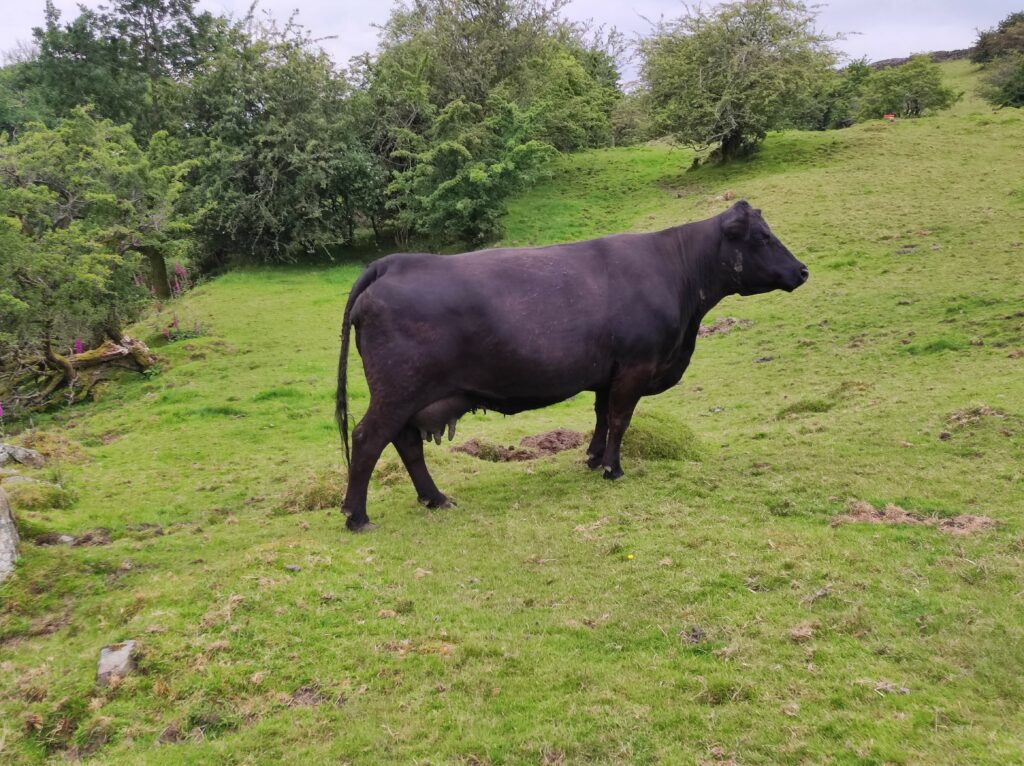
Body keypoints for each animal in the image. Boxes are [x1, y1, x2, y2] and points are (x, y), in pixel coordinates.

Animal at [335, 200, 808, 531]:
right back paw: (357, 516)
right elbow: (619, 419)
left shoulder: (607, 373)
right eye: (762, 237)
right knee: (368, 439)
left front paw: (594, 459)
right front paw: (614, 469)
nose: (802, 271)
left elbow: (600, 416)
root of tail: (394, 262)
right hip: (397, 391)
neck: (678, 273)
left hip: (409, 397)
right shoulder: (635, 367)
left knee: (406, 443)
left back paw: (435, 498)